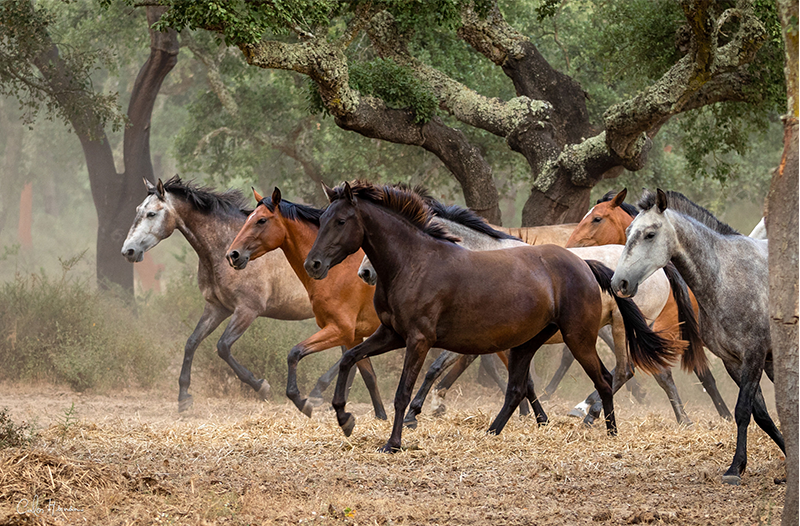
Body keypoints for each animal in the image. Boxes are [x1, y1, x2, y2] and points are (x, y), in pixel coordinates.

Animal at [121, 177, 314, 412]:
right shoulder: (216, 307)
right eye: (138, 210)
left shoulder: (247, 310)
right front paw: (184, 398)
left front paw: (261, 386)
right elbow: (192, 342)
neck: (226, 248)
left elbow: (222, 347)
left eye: (151, 214)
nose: (128, 251)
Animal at [225, 188, 387, 420]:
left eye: (261, 220)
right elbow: (369, 376)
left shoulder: (340, 330)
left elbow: (295, 353)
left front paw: (303, 402)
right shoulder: (353, 336)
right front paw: (381, 417)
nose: (233, 254)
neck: (335, 270)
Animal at [305, 181, 684, 452]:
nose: (314, 264)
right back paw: (492, 431)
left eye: (341, 221)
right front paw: (344, 417)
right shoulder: (392, 334)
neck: (414, 262)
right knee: (518, 388)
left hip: (581, 336)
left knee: (609, 377)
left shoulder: (418, 339)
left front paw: (394, 443)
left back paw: (608, 429)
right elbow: (350, 358)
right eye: (321, 220)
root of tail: (585, 265)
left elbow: (404, 391)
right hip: (530, 343)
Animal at [610, 189, 785, 485]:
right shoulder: (734, 361)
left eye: (650, 234)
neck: (725, 277)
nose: (618, 283)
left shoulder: (754, 356)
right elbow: (761, 414)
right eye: (628, 231)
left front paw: (734, 469)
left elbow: (742, 411)